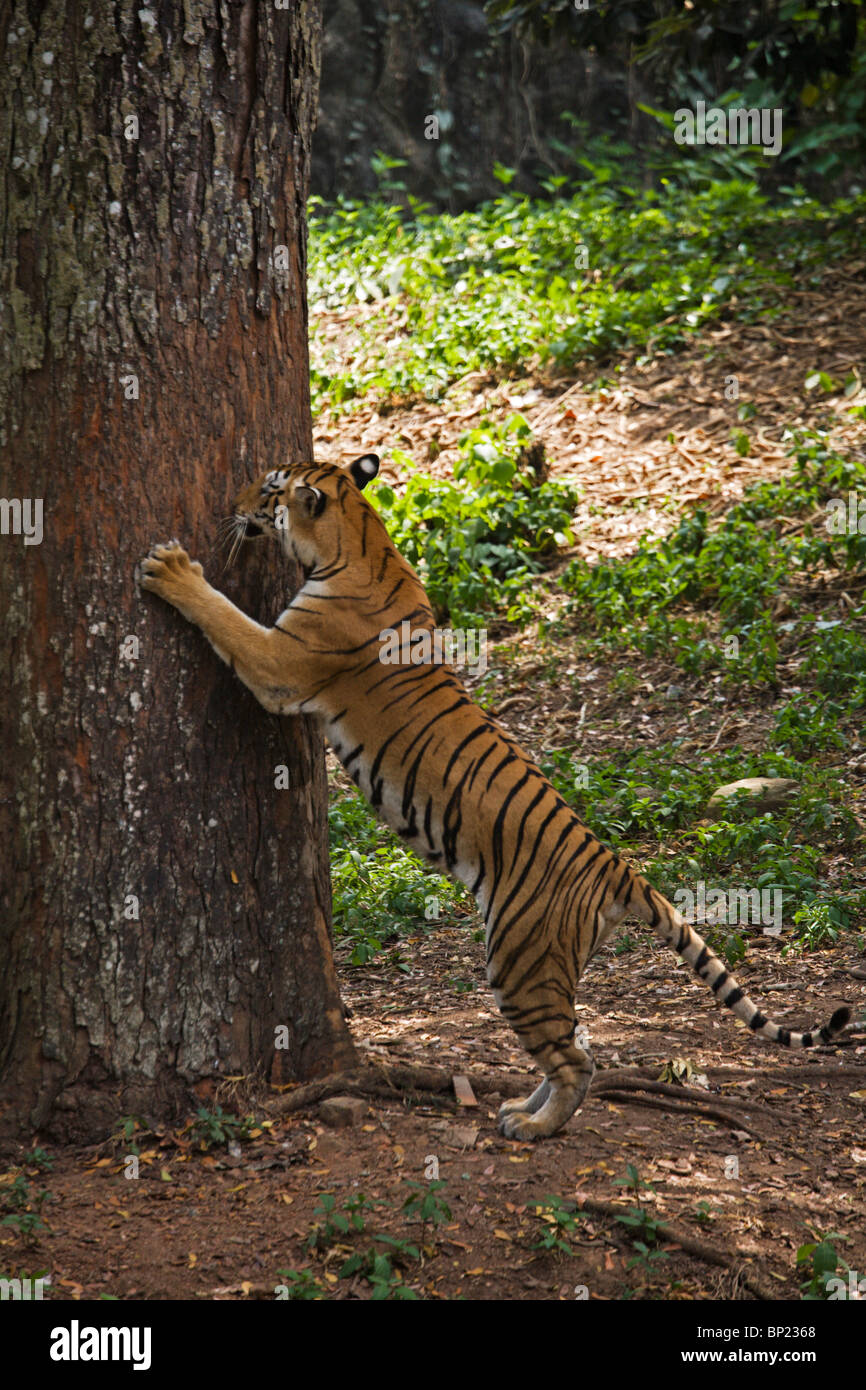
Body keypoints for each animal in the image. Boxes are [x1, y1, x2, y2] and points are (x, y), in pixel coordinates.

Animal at [140, 453, 851, 1140]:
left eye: (268, 488)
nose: (233, 505)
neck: (362, 535)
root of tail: (618, 868)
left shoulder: (278, 663)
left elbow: (224, 617)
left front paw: (170, 569)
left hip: (516, 959)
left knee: (575, 1059)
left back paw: (534, 1127)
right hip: (549, 965)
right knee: (580, 1046)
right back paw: (520, 1108)